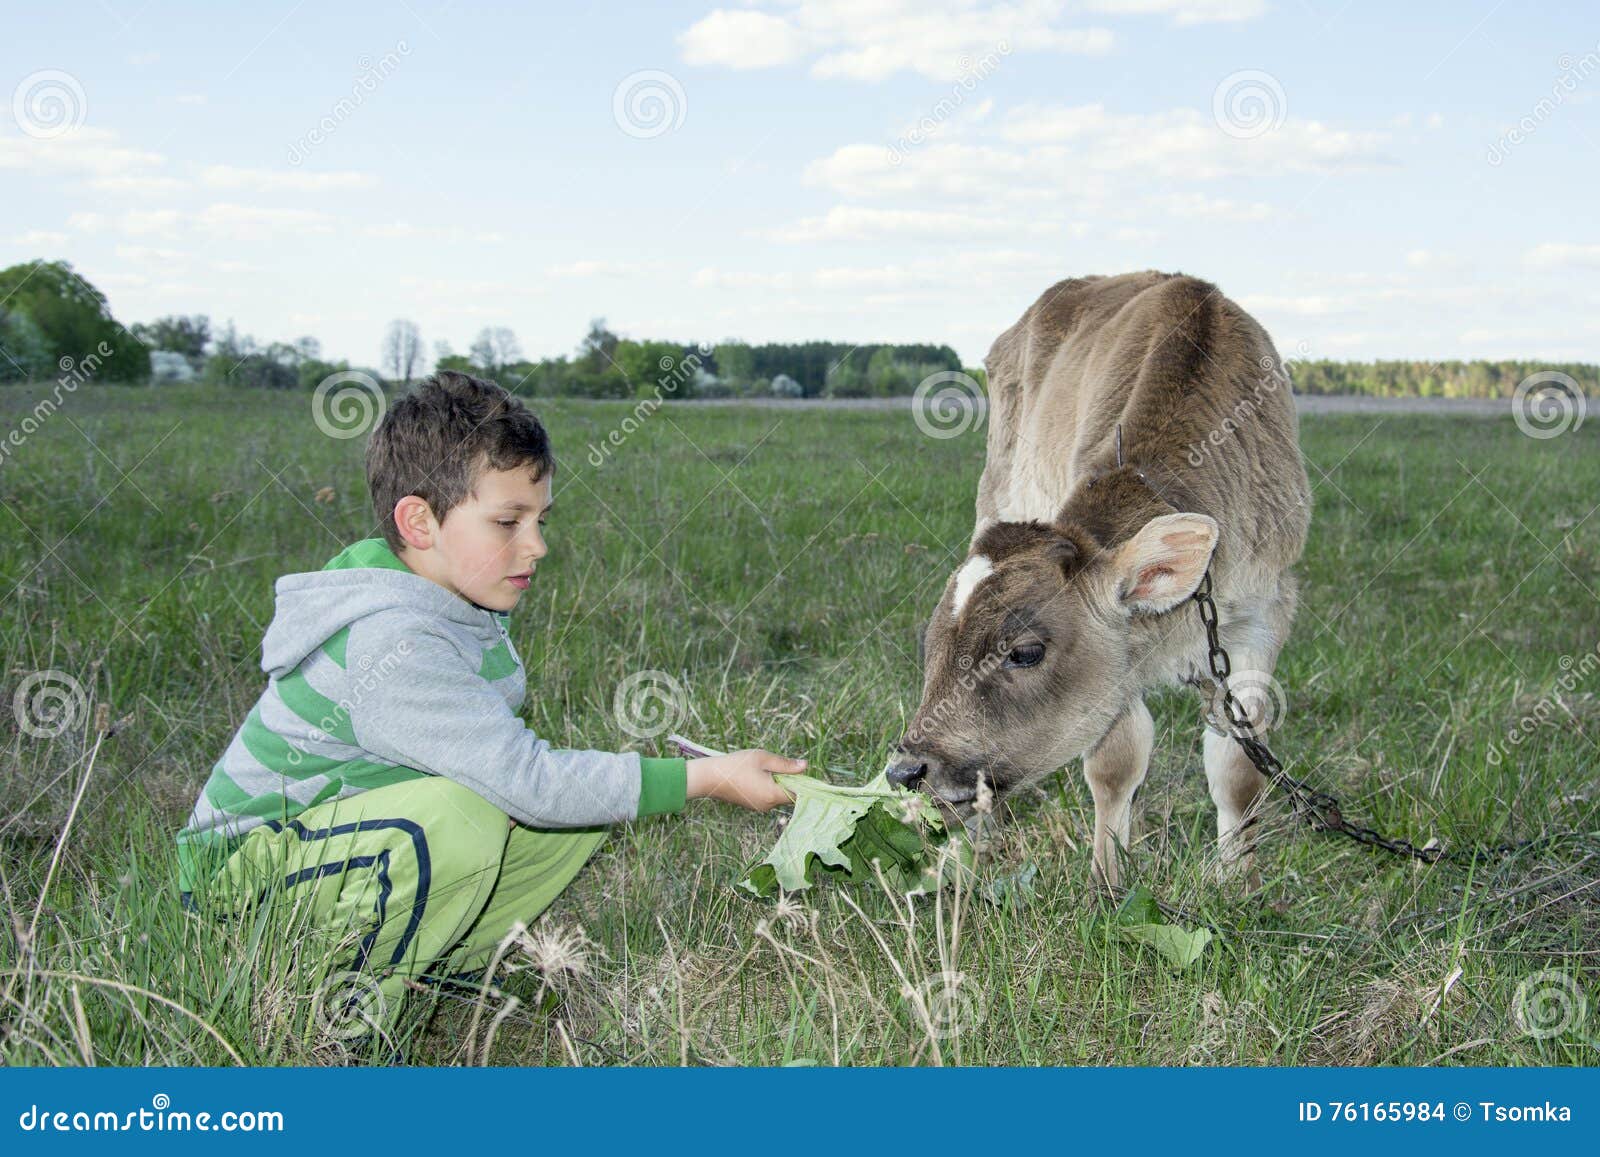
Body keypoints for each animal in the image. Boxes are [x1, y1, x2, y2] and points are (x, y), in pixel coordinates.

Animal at [888, 271, 1312, 889]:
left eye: (1024, 651)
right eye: (931, 643)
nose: (908, 768)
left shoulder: (1262, 616)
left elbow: (1238, 768)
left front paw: (1236, 881)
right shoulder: (1120, 662)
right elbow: (1116, 764)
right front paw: (1108, 879)